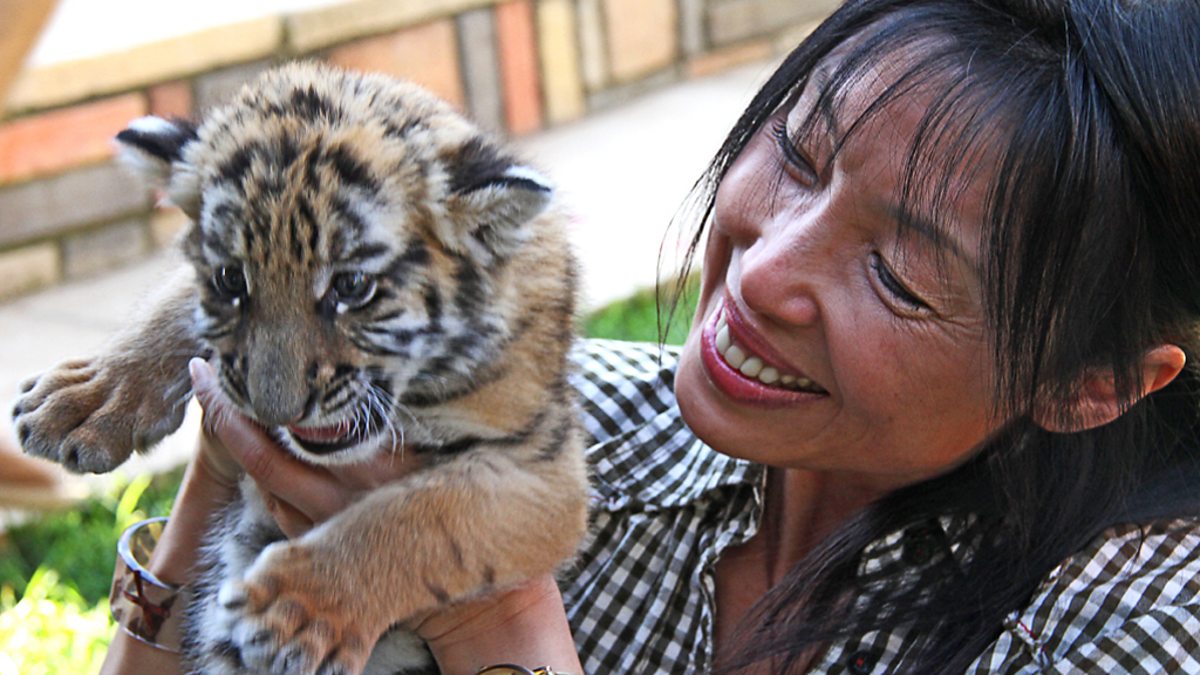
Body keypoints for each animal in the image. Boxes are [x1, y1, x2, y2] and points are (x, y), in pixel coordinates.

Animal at [11, 62, 589, 674]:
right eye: (230, 280)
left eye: (352, 286)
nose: (275, 409)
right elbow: (176, 306)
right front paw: (84, 401)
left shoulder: (543, 471)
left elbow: (425, 516)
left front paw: (294, 613)